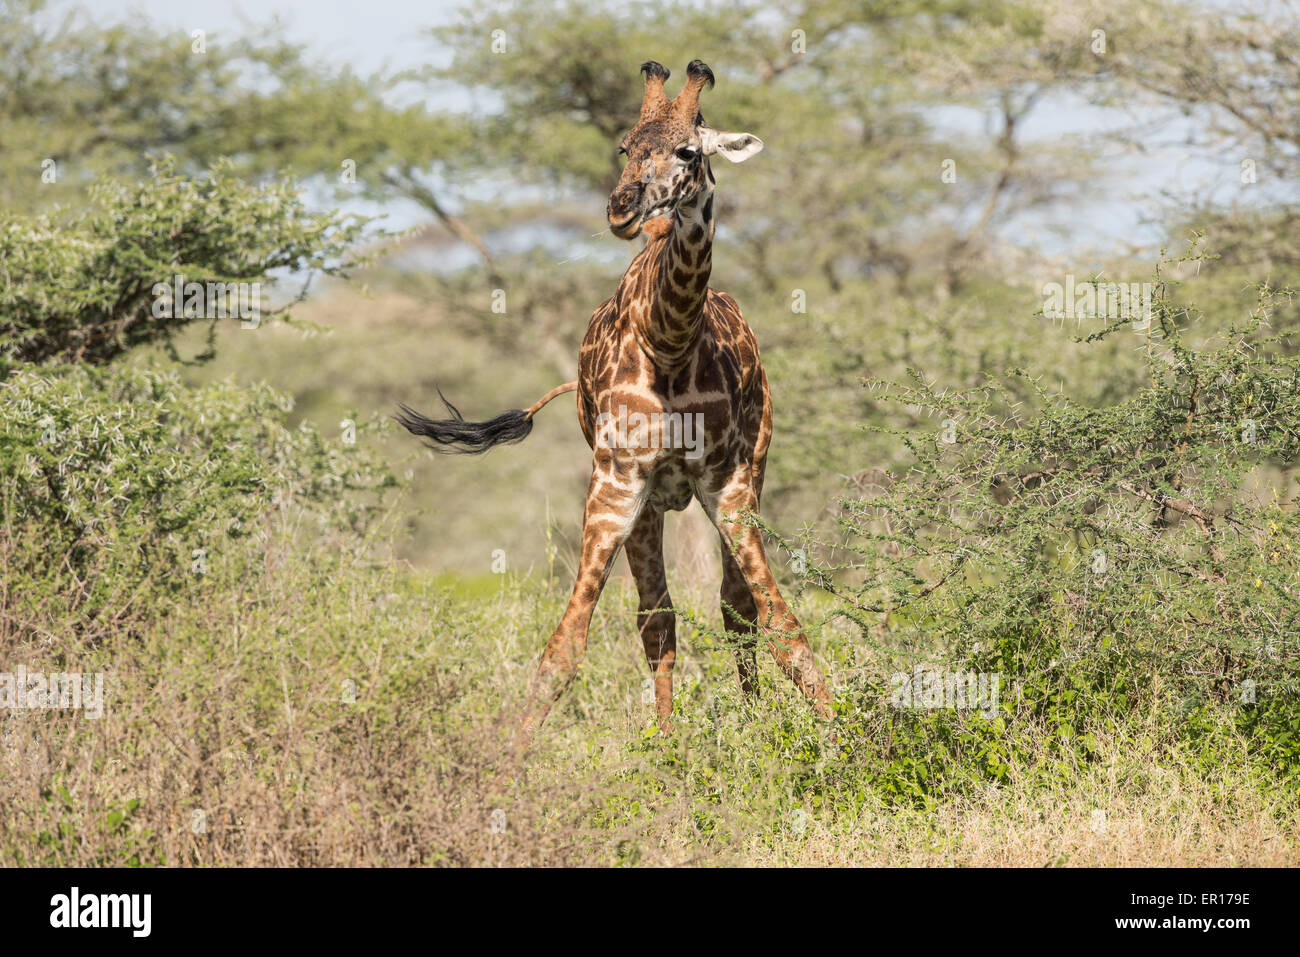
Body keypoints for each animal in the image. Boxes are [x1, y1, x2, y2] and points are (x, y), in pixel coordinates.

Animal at [397, 59, 833, 753]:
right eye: (626, 147)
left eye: (688, 151)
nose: (622, 207)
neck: (670, 340)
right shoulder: (616, 485)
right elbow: (565, 648)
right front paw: (507, 764)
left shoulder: (729, 486)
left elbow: (782, 625)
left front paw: (846, 737)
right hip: (650, 505)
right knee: (658, 617)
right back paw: (670, 742)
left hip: (753, 468)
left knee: (734, 606)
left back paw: (749, 721)